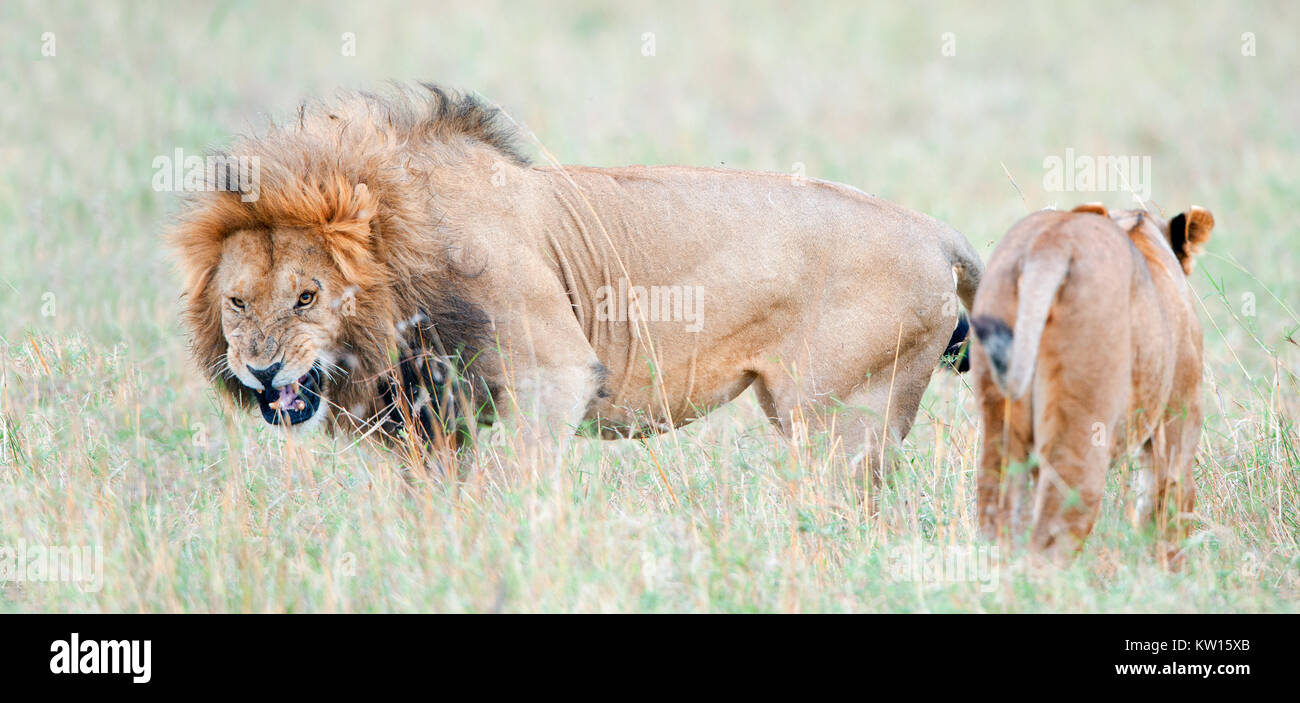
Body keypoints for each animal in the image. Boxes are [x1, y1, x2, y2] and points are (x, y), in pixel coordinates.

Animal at [170, 84, 983, 479]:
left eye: (307, 296)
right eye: (237, 302)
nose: (261, 369)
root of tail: (936, 231)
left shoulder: (555, 374)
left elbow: (518, 482)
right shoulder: (430, 419)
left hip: (839, 419)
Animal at [969, 202, 1214, 562]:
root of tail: (1054, 242)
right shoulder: (1180, 421)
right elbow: (1169, 512)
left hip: (1000, 424)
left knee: (997, 517)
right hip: (1085, 426)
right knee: (1051, 538)